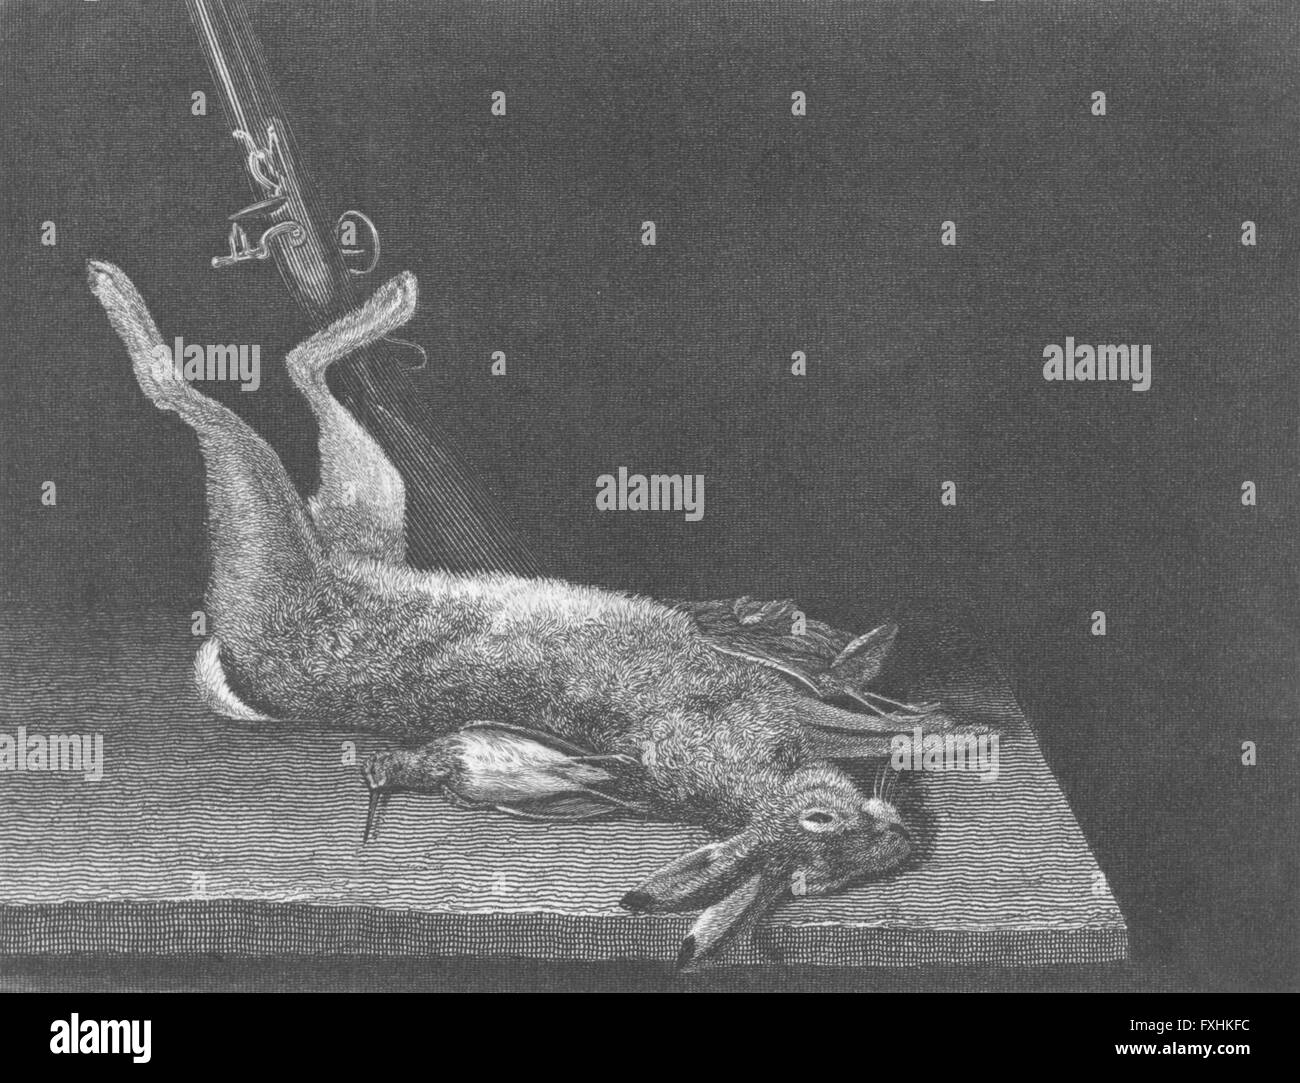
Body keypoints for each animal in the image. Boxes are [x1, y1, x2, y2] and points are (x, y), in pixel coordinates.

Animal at [89, 259, 966, 970]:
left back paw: (384, 301)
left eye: (826, 877)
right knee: (190, 398)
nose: (900, 836)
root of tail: (238, 648)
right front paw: (942, 728)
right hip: (263, 520)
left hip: (364, 506)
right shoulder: (746, 699)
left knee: (301, 375)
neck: (747, 782)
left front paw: (929, 723)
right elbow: (843, 717)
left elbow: (846, 716)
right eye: (818, 823)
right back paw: (121, 293)